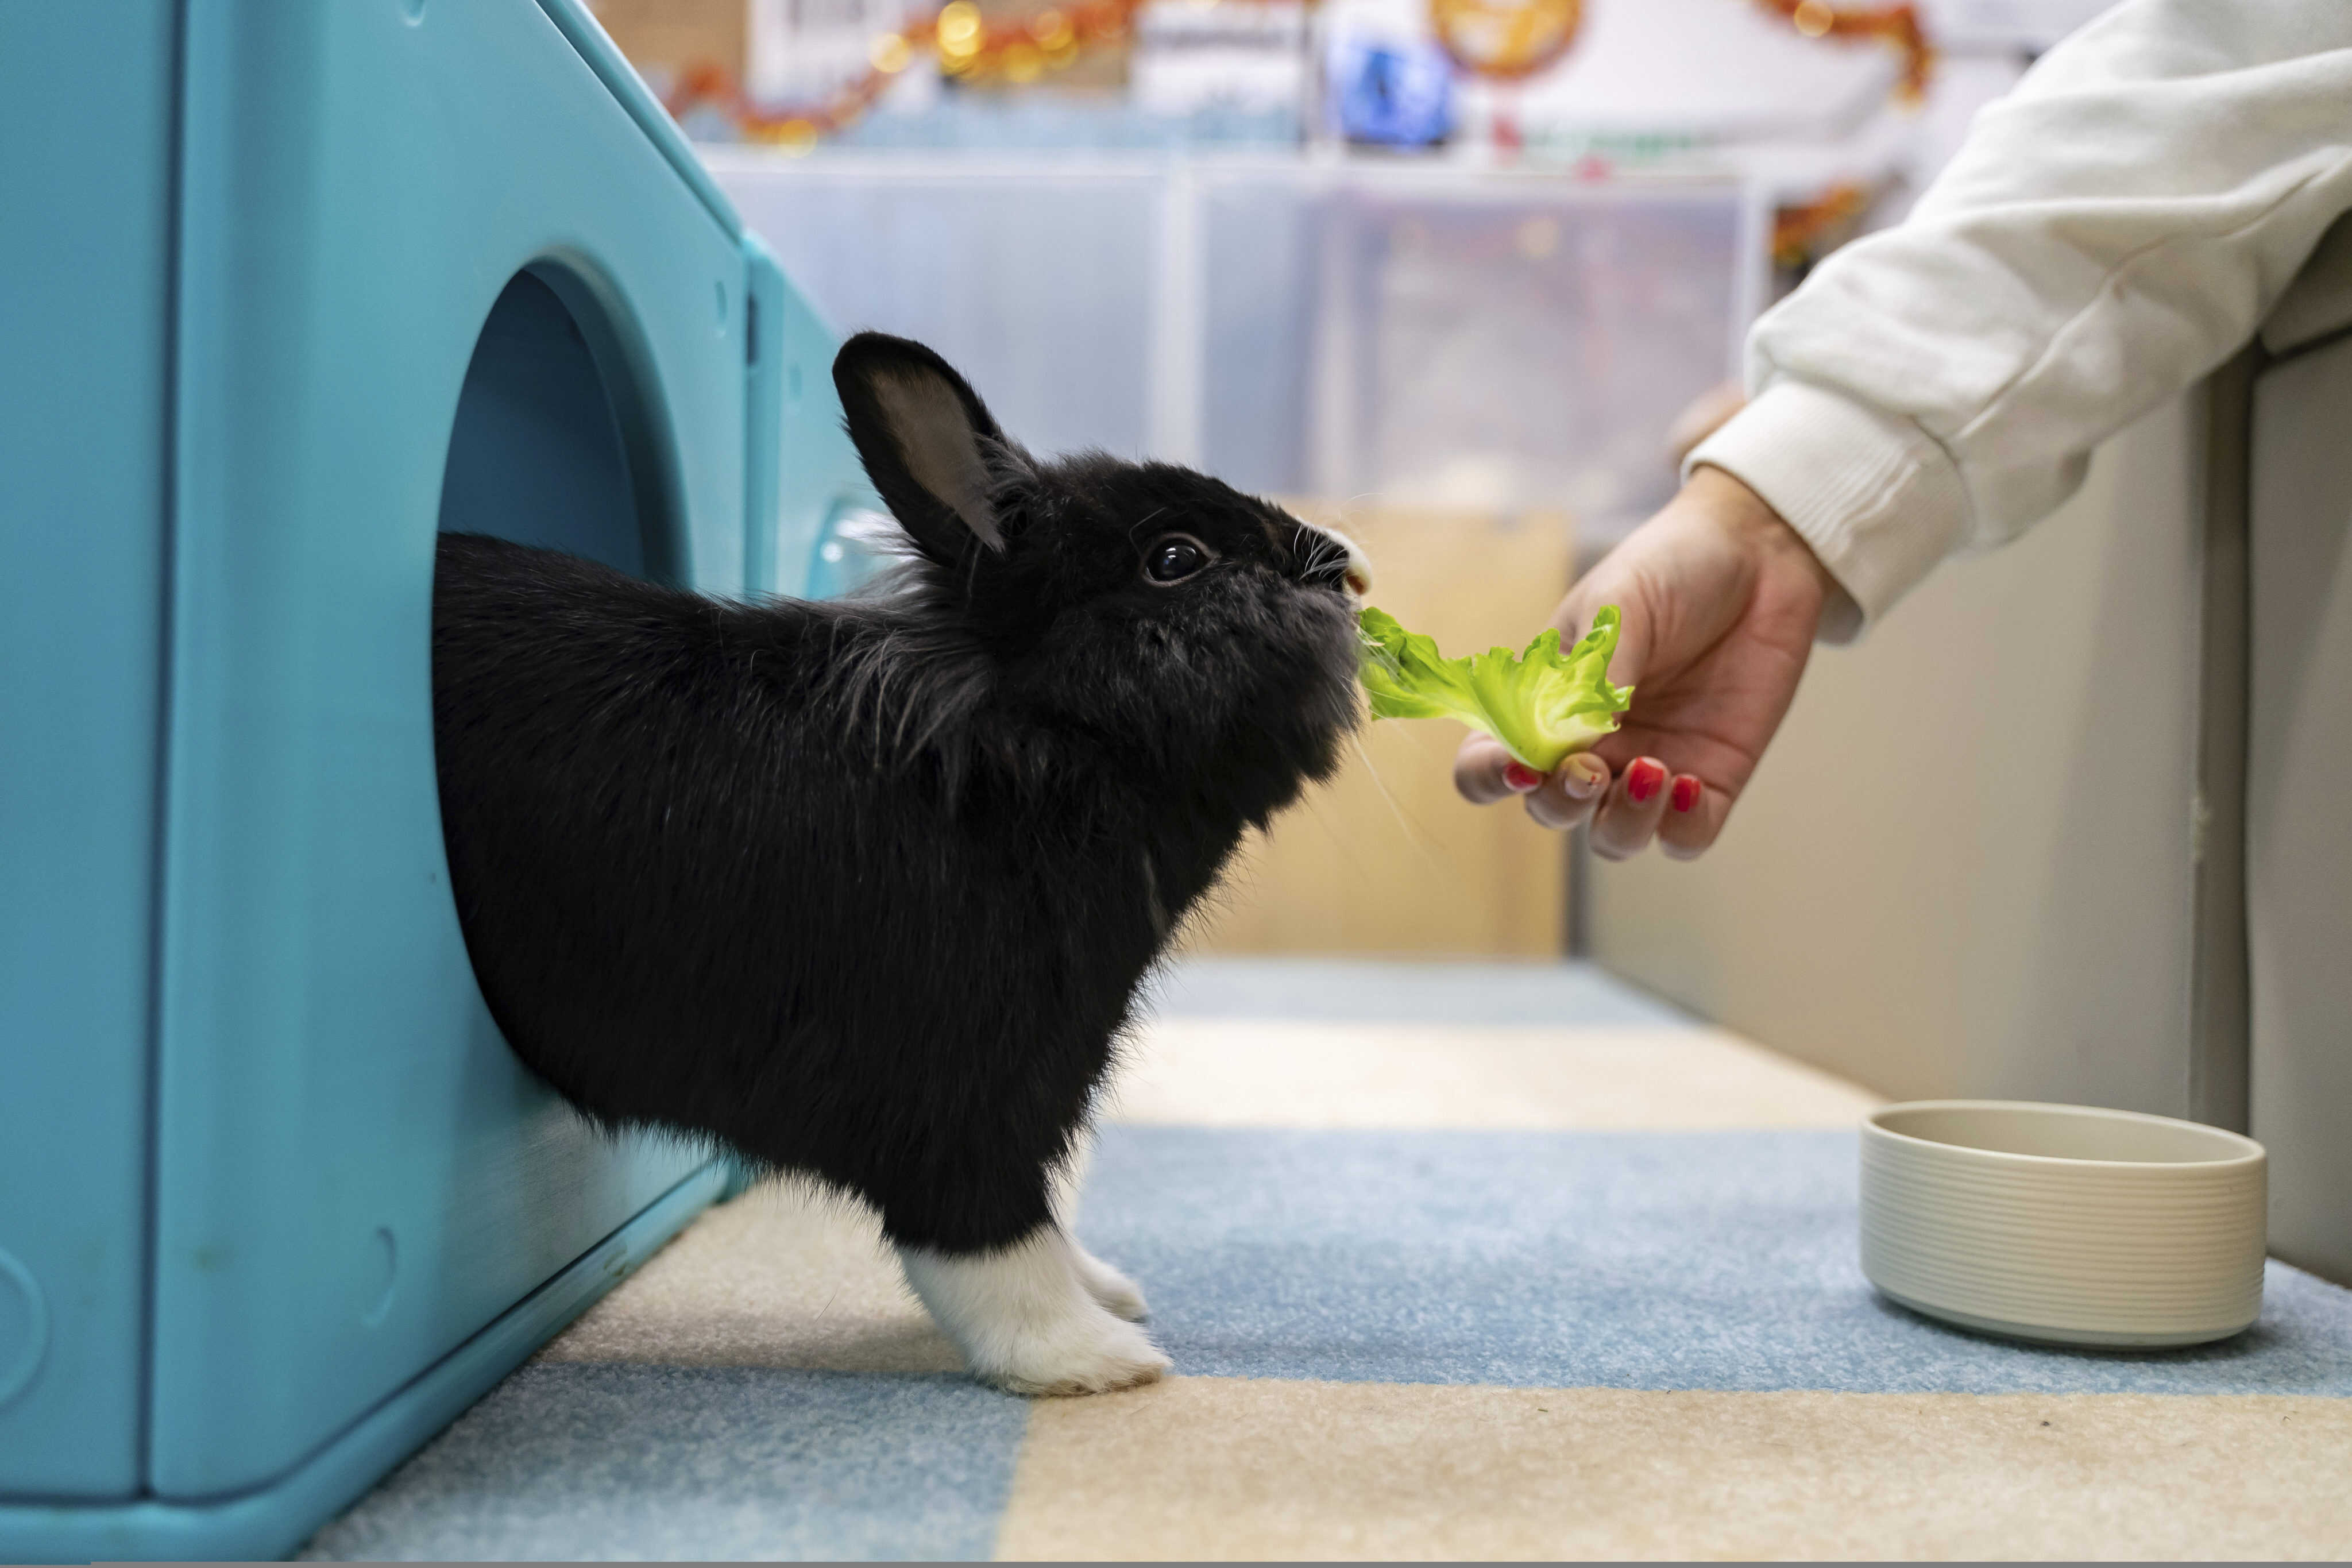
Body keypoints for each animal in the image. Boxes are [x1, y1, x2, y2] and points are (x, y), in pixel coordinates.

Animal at [431, 331, 1371, 1395]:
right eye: (1177, 559)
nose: (1346, 567)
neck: (1030, 747)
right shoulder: (963, 1090)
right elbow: (988, 1238)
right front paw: (1093, 1356)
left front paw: (1106, 1290)